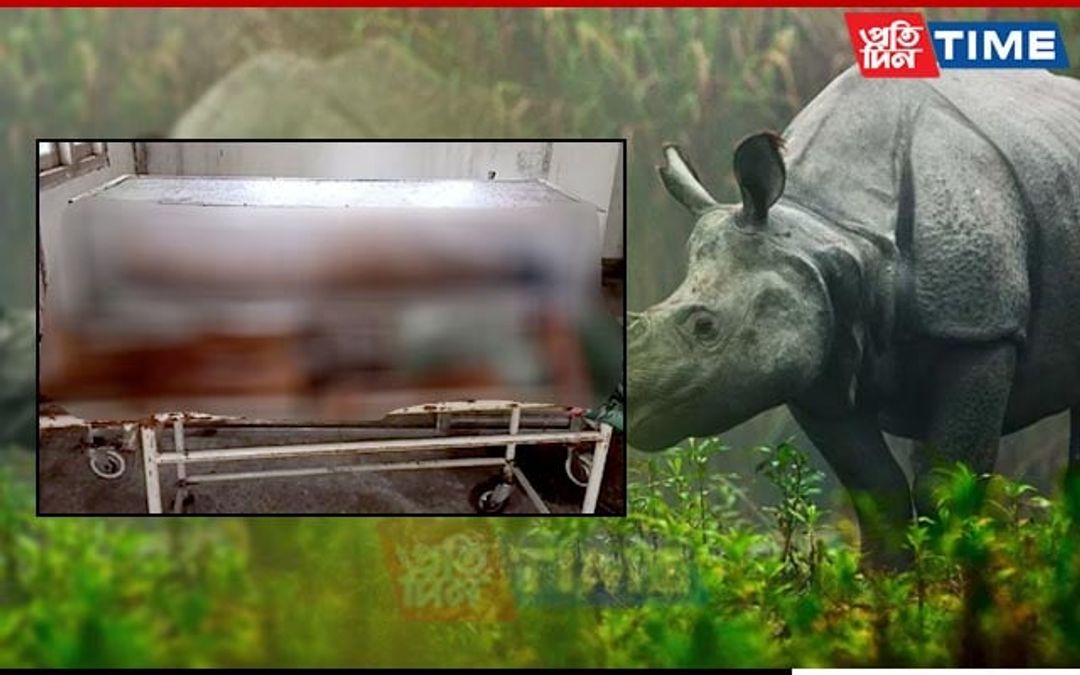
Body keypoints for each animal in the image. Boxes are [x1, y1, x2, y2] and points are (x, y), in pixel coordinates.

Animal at [628, 66, 1080, 565]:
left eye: (705, 327)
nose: (628, 406)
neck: (829, 232)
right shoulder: (820, 350)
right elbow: (877, 491)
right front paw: (887, 582)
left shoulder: (981, 329)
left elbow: (945, 485)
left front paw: (948, 579)